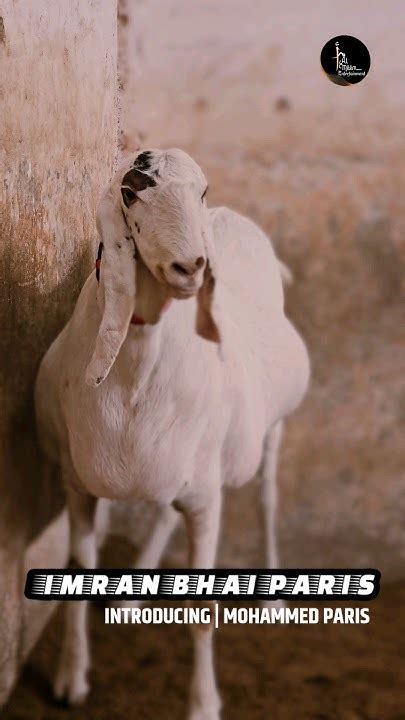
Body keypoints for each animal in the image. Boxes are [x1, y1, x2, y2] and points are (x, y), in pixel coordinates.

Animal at [35, 148, 310, 719]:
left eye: (201, 190)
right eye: (130, 192)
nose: (192, 268)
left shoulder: (206, 499)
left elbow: (202, 606)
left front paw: (203, 704)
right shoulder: (77, 482)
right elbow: (77, 567)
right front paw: (71, 677)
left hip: (271, 428)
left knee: (269, 497)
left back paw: (273, 593)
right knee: (164, 511)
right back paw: (133, 594)